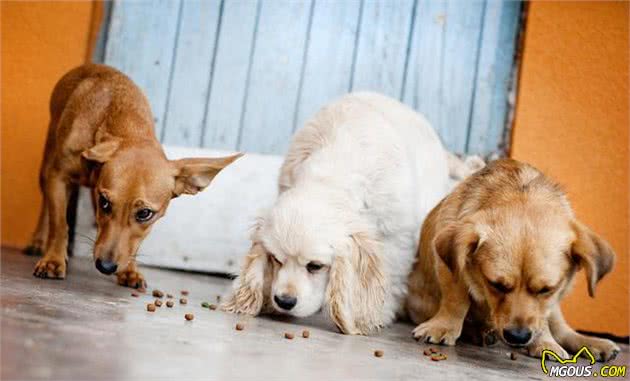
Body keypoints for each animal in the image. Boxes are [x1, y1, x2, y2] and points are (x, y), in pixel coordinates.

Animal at [26, 63, 242, 286]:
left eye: (144, 213)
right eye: (105, 203)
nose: (105, 266)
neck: (126, 126)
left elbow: (135, 242)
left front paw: (130, 270)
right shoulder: (59, 177)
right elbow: (59, 224)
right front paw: (53, 260)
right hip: (46, 168)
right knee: (46, 209)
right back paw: (38, 241)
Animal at [225, 92, 456, 332]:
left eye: (315, 266)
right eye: (276, 259)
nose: (284, 301)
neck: (331, 175)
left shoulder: (397, 237)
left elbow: (391, 276)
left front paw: (373, 315)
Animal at [404, 159, 624, 360]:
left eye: (546, 289)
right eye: (496, 285)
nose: (518, 337)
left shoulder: (551, 299)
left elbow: (542, 318)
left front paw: (545, 342)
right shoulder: (450, 269)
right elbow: (456, 299)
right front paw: (444, 326)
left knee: (562, 329)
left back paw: (590, 342)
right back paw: (477, 332)